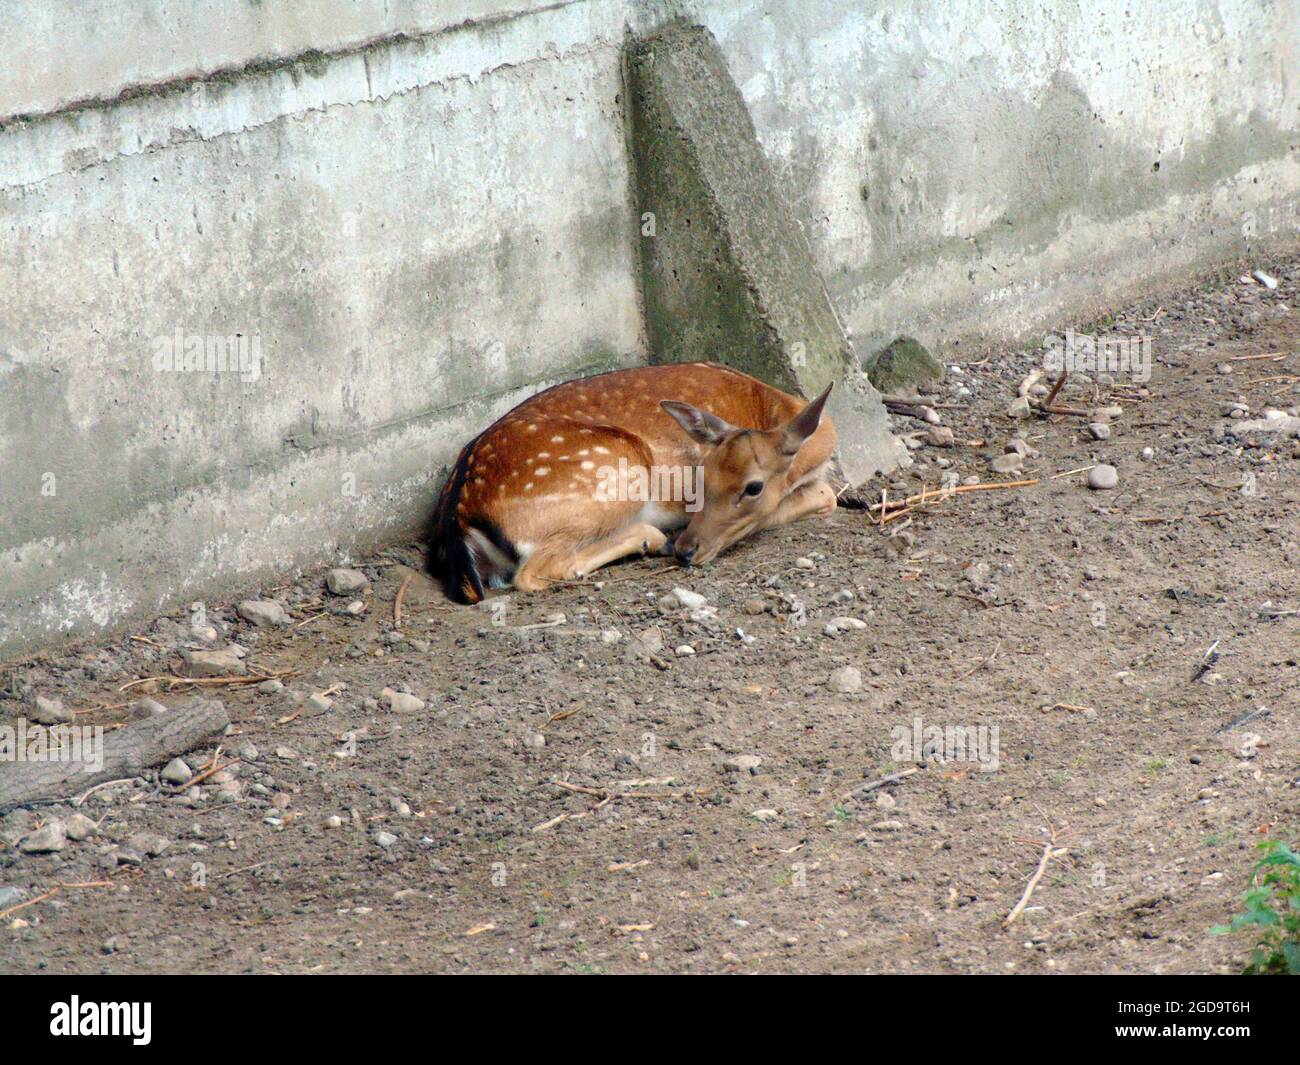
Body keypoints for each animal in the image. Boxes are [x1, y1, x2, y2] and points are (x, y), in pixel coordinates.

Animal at [429, 362, 837, 603]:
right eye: (700, 477)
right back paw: (651, 538)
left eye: (752, 487)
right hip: (611, 471)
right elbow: (827, 493)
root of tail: (459, 514)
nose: (686, 550)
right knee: (533, 572)